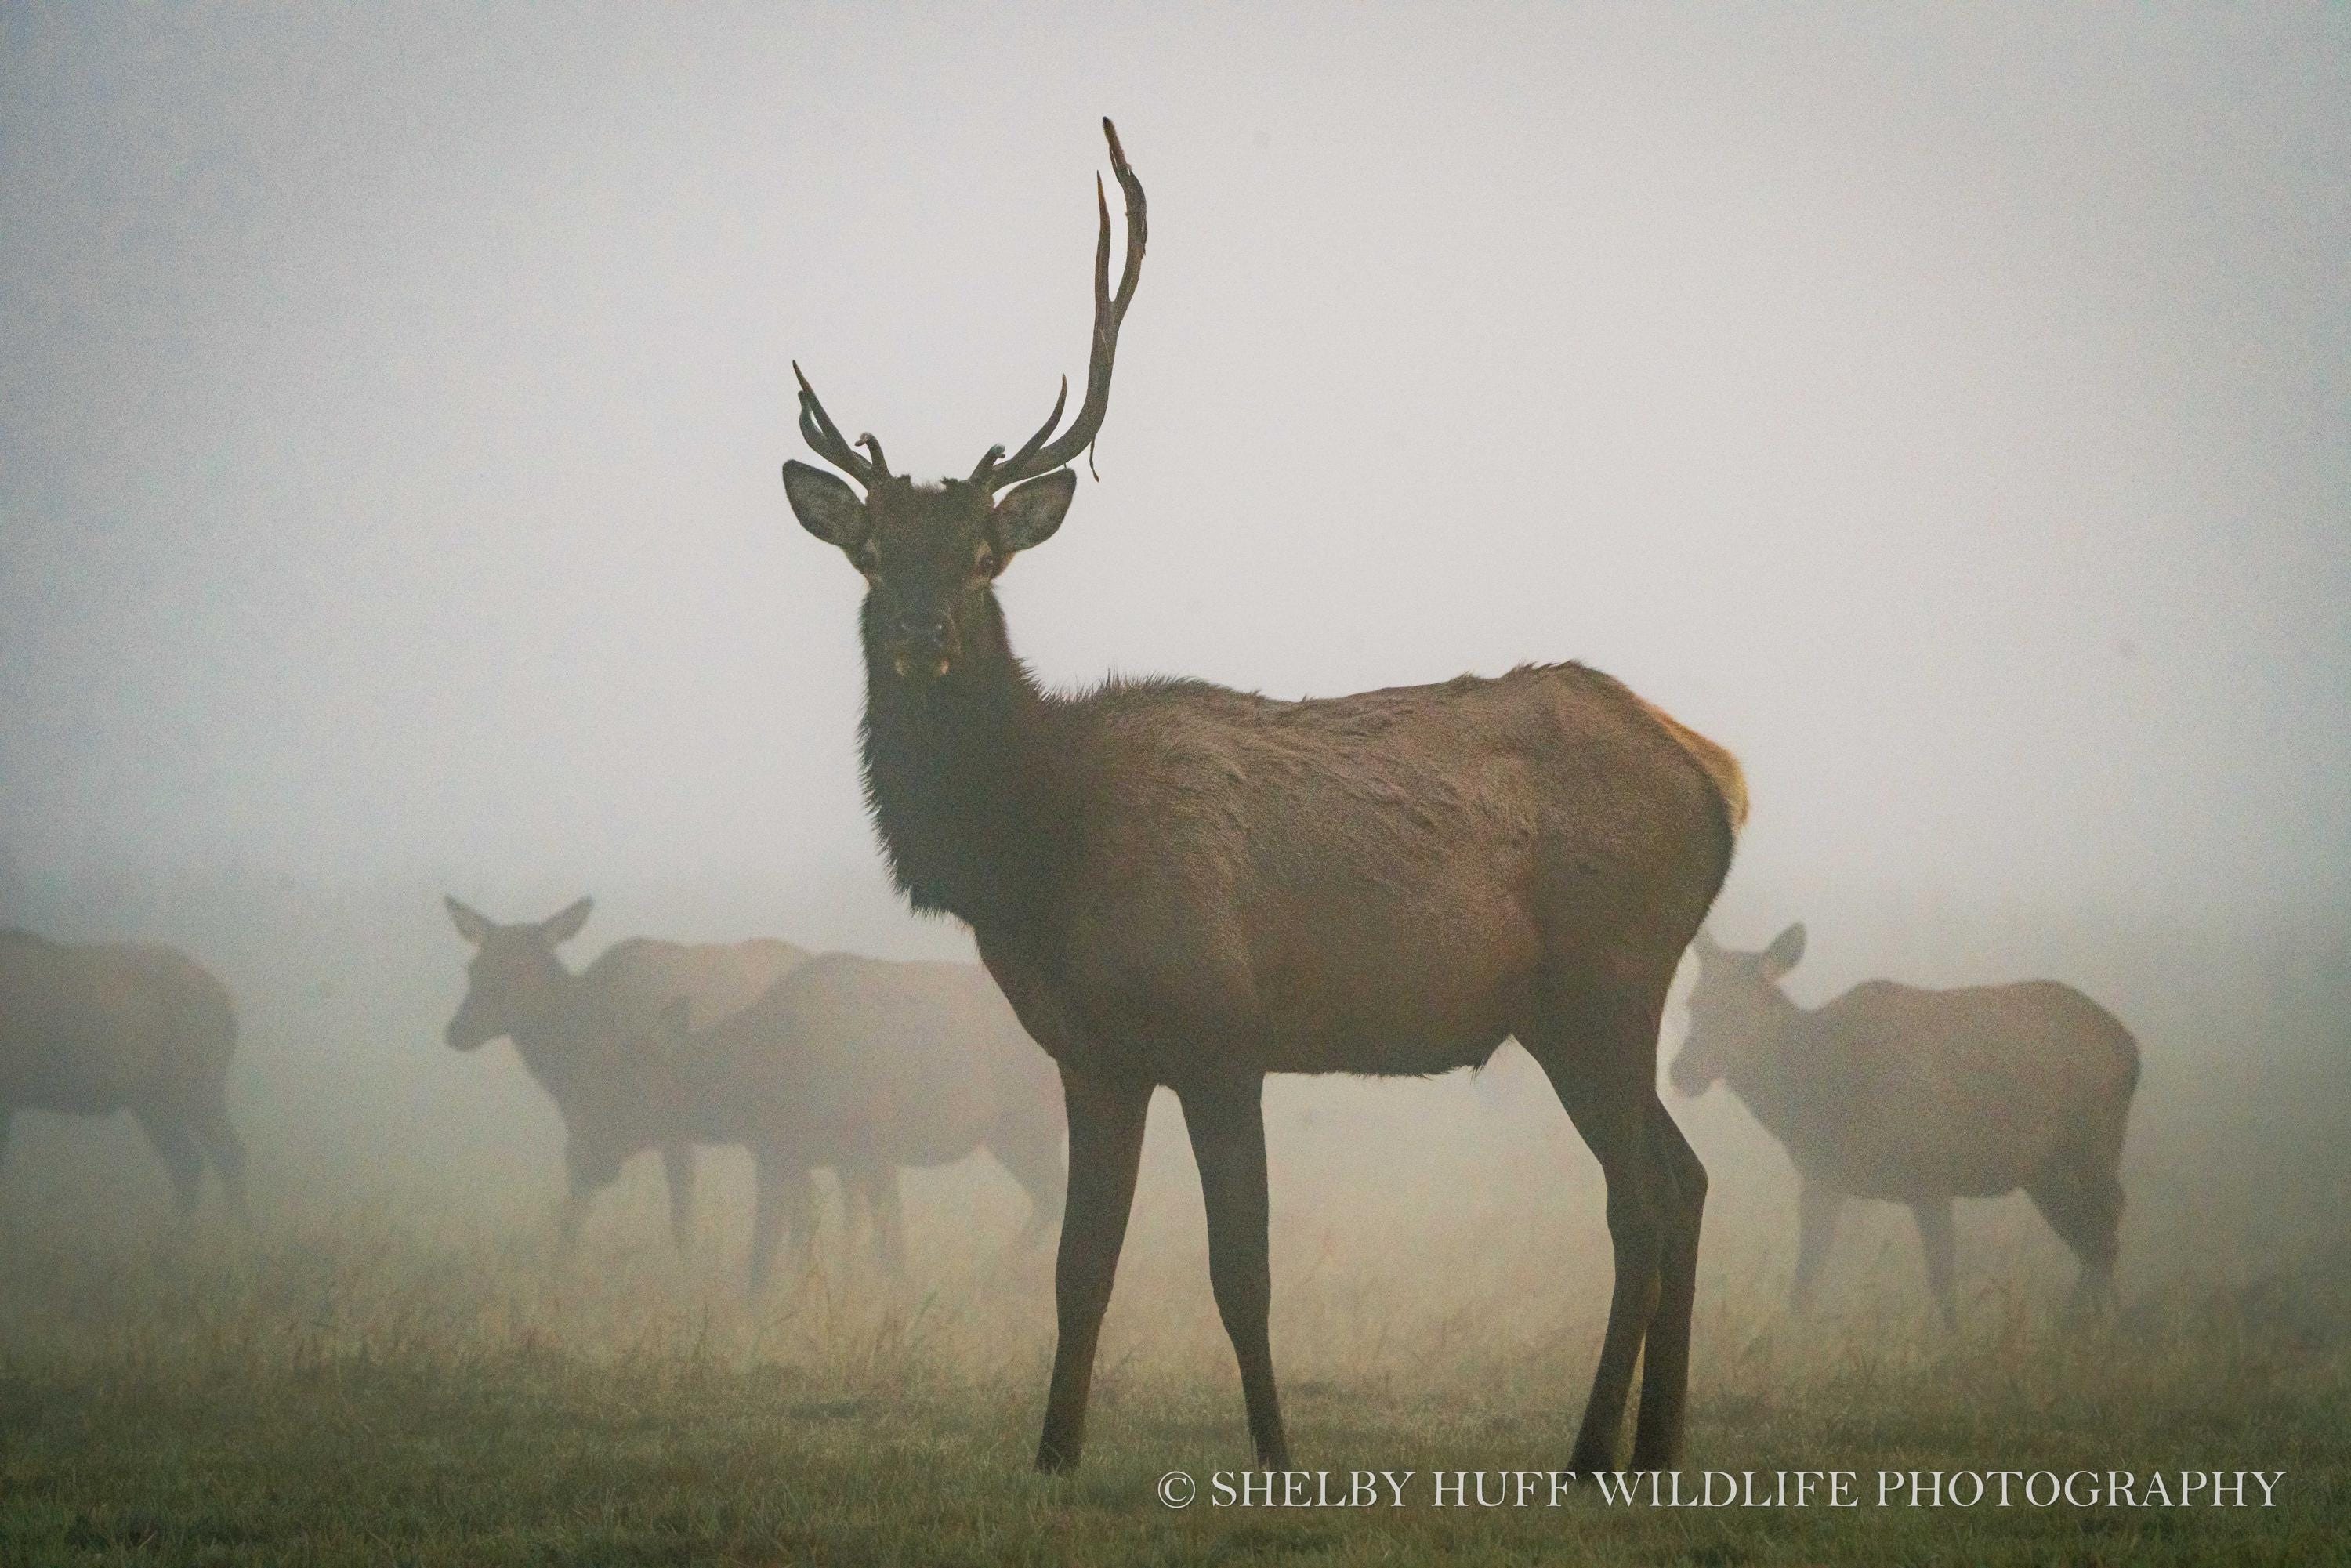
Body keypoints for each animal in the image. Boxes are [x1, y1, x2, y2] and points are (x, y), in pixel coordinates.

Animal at [442, 895, 809, 1257]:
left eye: (519, 970)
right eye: (472, 968)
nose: (457, 1030)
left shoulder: (668, 1120)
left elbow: (680, 1204)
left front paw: (685, 1262)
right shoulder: (586, 1124)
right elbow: (577, 1201)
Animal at [776, 120, 1747, 1474]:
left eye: (982, 556)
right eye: (870, 555)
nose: (922, 633)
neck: (1036, 857)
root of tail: (1719, 780)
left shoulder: (1221, 1030)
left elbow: (1243, 1273)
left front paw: (1280, 1457)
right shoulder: (1093, 1055)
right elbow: (1080, 1270)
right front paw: (1053, 1454)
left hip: (1605, 981)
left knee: (1645, 1200)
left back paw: (1591, 1451)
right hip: (1579, 1006)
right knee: (1689, 1181)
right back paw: (1652, 1450)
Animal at [1670, 924, 2140, 1327]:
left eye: (1739, 1009)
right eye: (1693, 1003)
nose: (1680, 1072)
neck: (1816, 1103)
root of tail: (2132, 1047)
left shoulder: (1931, 1172)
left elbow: (1943, 1279)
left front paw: (1956, 1345)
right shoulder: (1822, 1179)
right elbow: (1805, 1278)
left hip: (2094, 1140)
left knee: (2106, 1217)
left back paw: (2099, 1319)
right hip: (2042, 1170)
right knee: (2086, 1231)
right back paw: (2084, 1319)